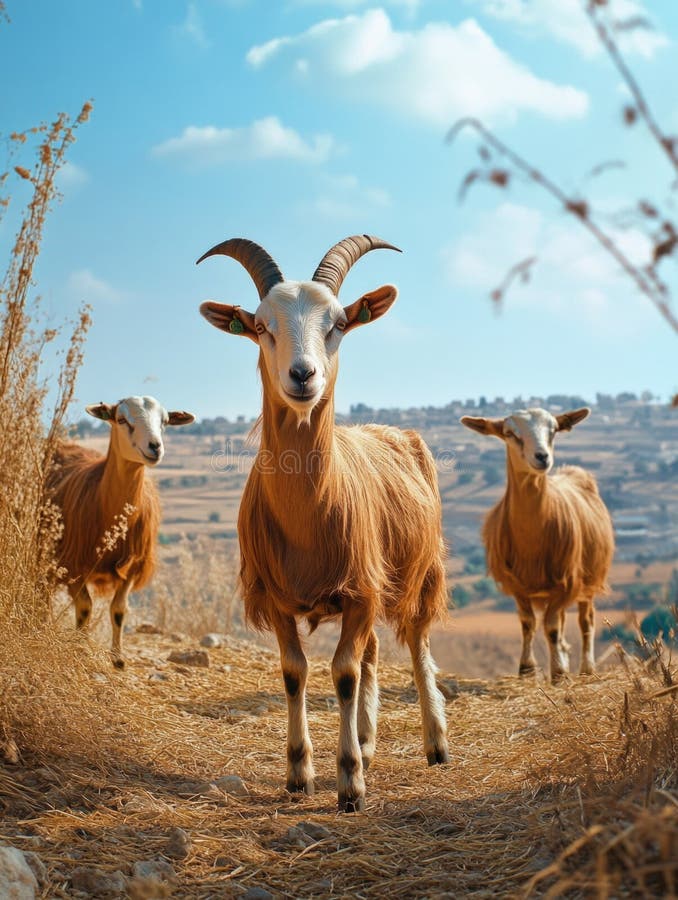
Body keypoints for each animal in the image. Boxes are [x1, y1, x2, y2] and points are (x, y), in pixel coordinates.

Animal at [47, 395, 195, 667]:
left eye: (165, 421)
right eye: (121, 419)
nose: (155, 447)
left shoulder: (132, 567)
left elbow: (118, 610)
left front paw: (118, 658)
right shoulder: (72, 564)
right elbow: (84, 608)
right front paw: (80, 648)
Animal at [198, 235, 449, 812]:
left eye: (337, 323)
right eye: (261, 326)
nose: (303, 375)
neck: (309, 515)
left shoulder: (359, 594)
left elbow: (344, 675)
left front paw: (350, 783)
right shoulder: (276, 596)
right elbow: (296, 674)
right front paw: (300, 772)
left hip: (419, 573)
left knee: (417, 645)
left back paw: (435, 743)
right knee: (375, 653)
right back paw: (368, 739)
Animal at [461, 407, 614, 683]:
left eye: (553, 431)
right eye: (510, 433)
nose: (542, 457)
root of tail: (572, 472)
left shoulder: (567, 582)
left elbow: (551, 627)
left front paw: (559, 672)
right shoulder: (517, 585)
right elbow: (528, 623)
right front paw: (527, 669)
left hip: (590, 577)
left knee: (586, 620)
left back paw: (586, 668)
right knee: (560, 620)